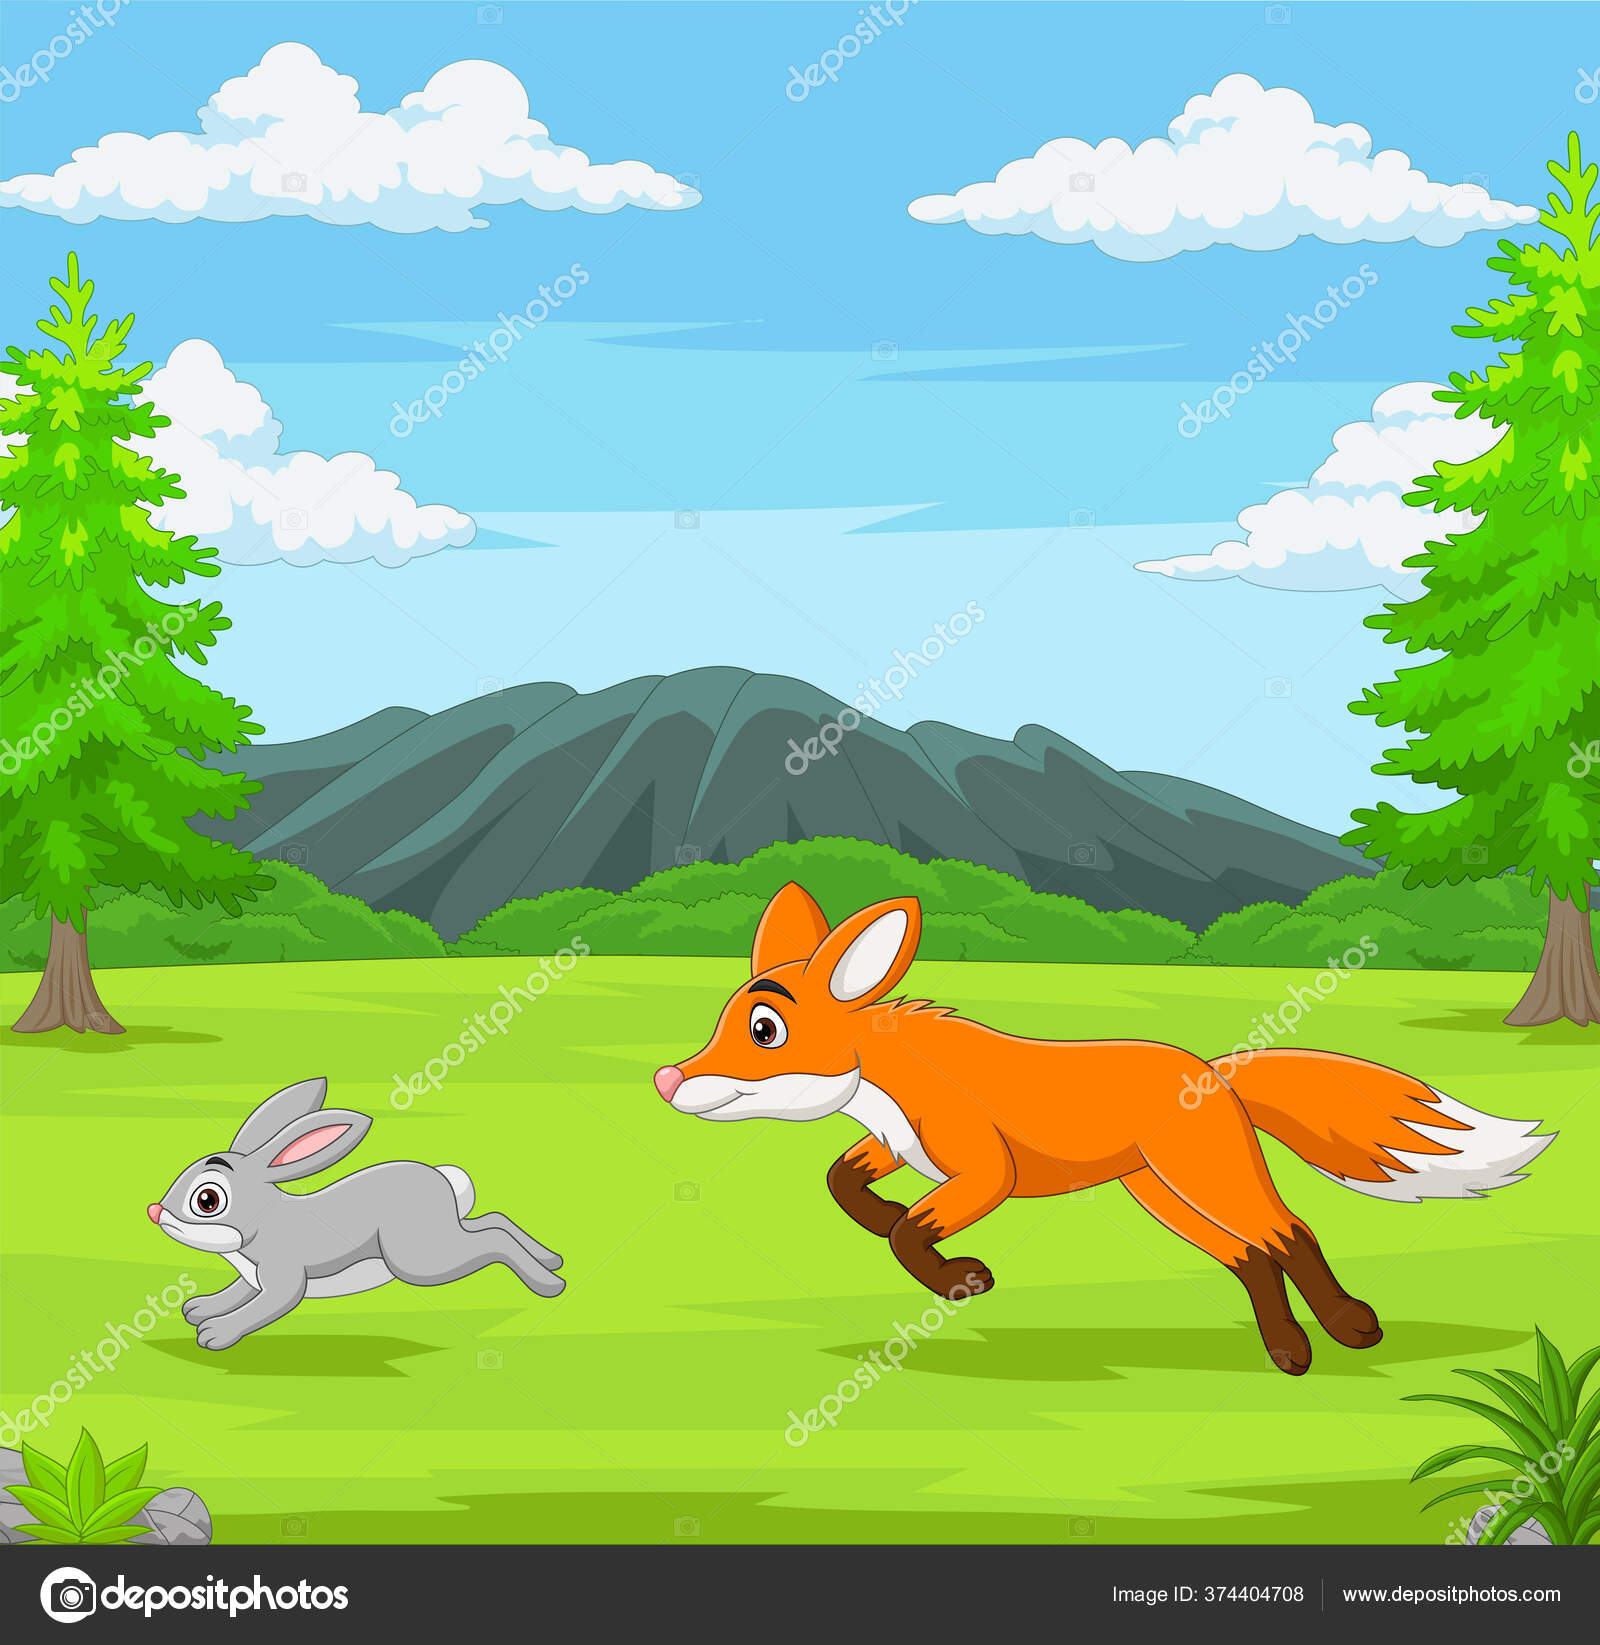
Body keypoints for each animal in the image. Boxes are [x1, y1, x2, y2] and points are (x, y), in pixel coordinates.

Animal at [147, 1076, 565, 1350]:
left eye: (208, 1200)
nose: (155, 1211)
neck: (263, 1218)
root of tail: (443, 1179)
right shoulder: (253, 1276)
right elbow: (237, 1291)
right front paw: (200, 1308)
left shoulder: (283, 1276)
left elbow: (267, 1305)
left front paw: (215, 1333)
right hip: (445, 1232)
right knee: (494, 1220)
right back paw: (552, 1259)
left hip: (417, 1261)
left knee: (493, 1241)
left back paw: (549, 1285)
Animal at [654, 883, 1555, 1375]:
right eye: (725, 1019)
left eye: (764, 1028)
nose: (668, 1077)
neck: (891, 1084)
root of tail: (1214, 1067)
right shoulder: (900, 1147)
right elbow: (845, 1185)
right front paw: (911, 1237)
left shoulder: (985, 1170)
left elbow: (910, 1234)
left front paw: (958, 1277)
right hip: (1157, 1193)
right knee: (1251, 1254)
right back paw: (1287, 1348)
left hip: (1203, 1175)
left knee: (1289, 1230)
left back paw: (1346, 1327)